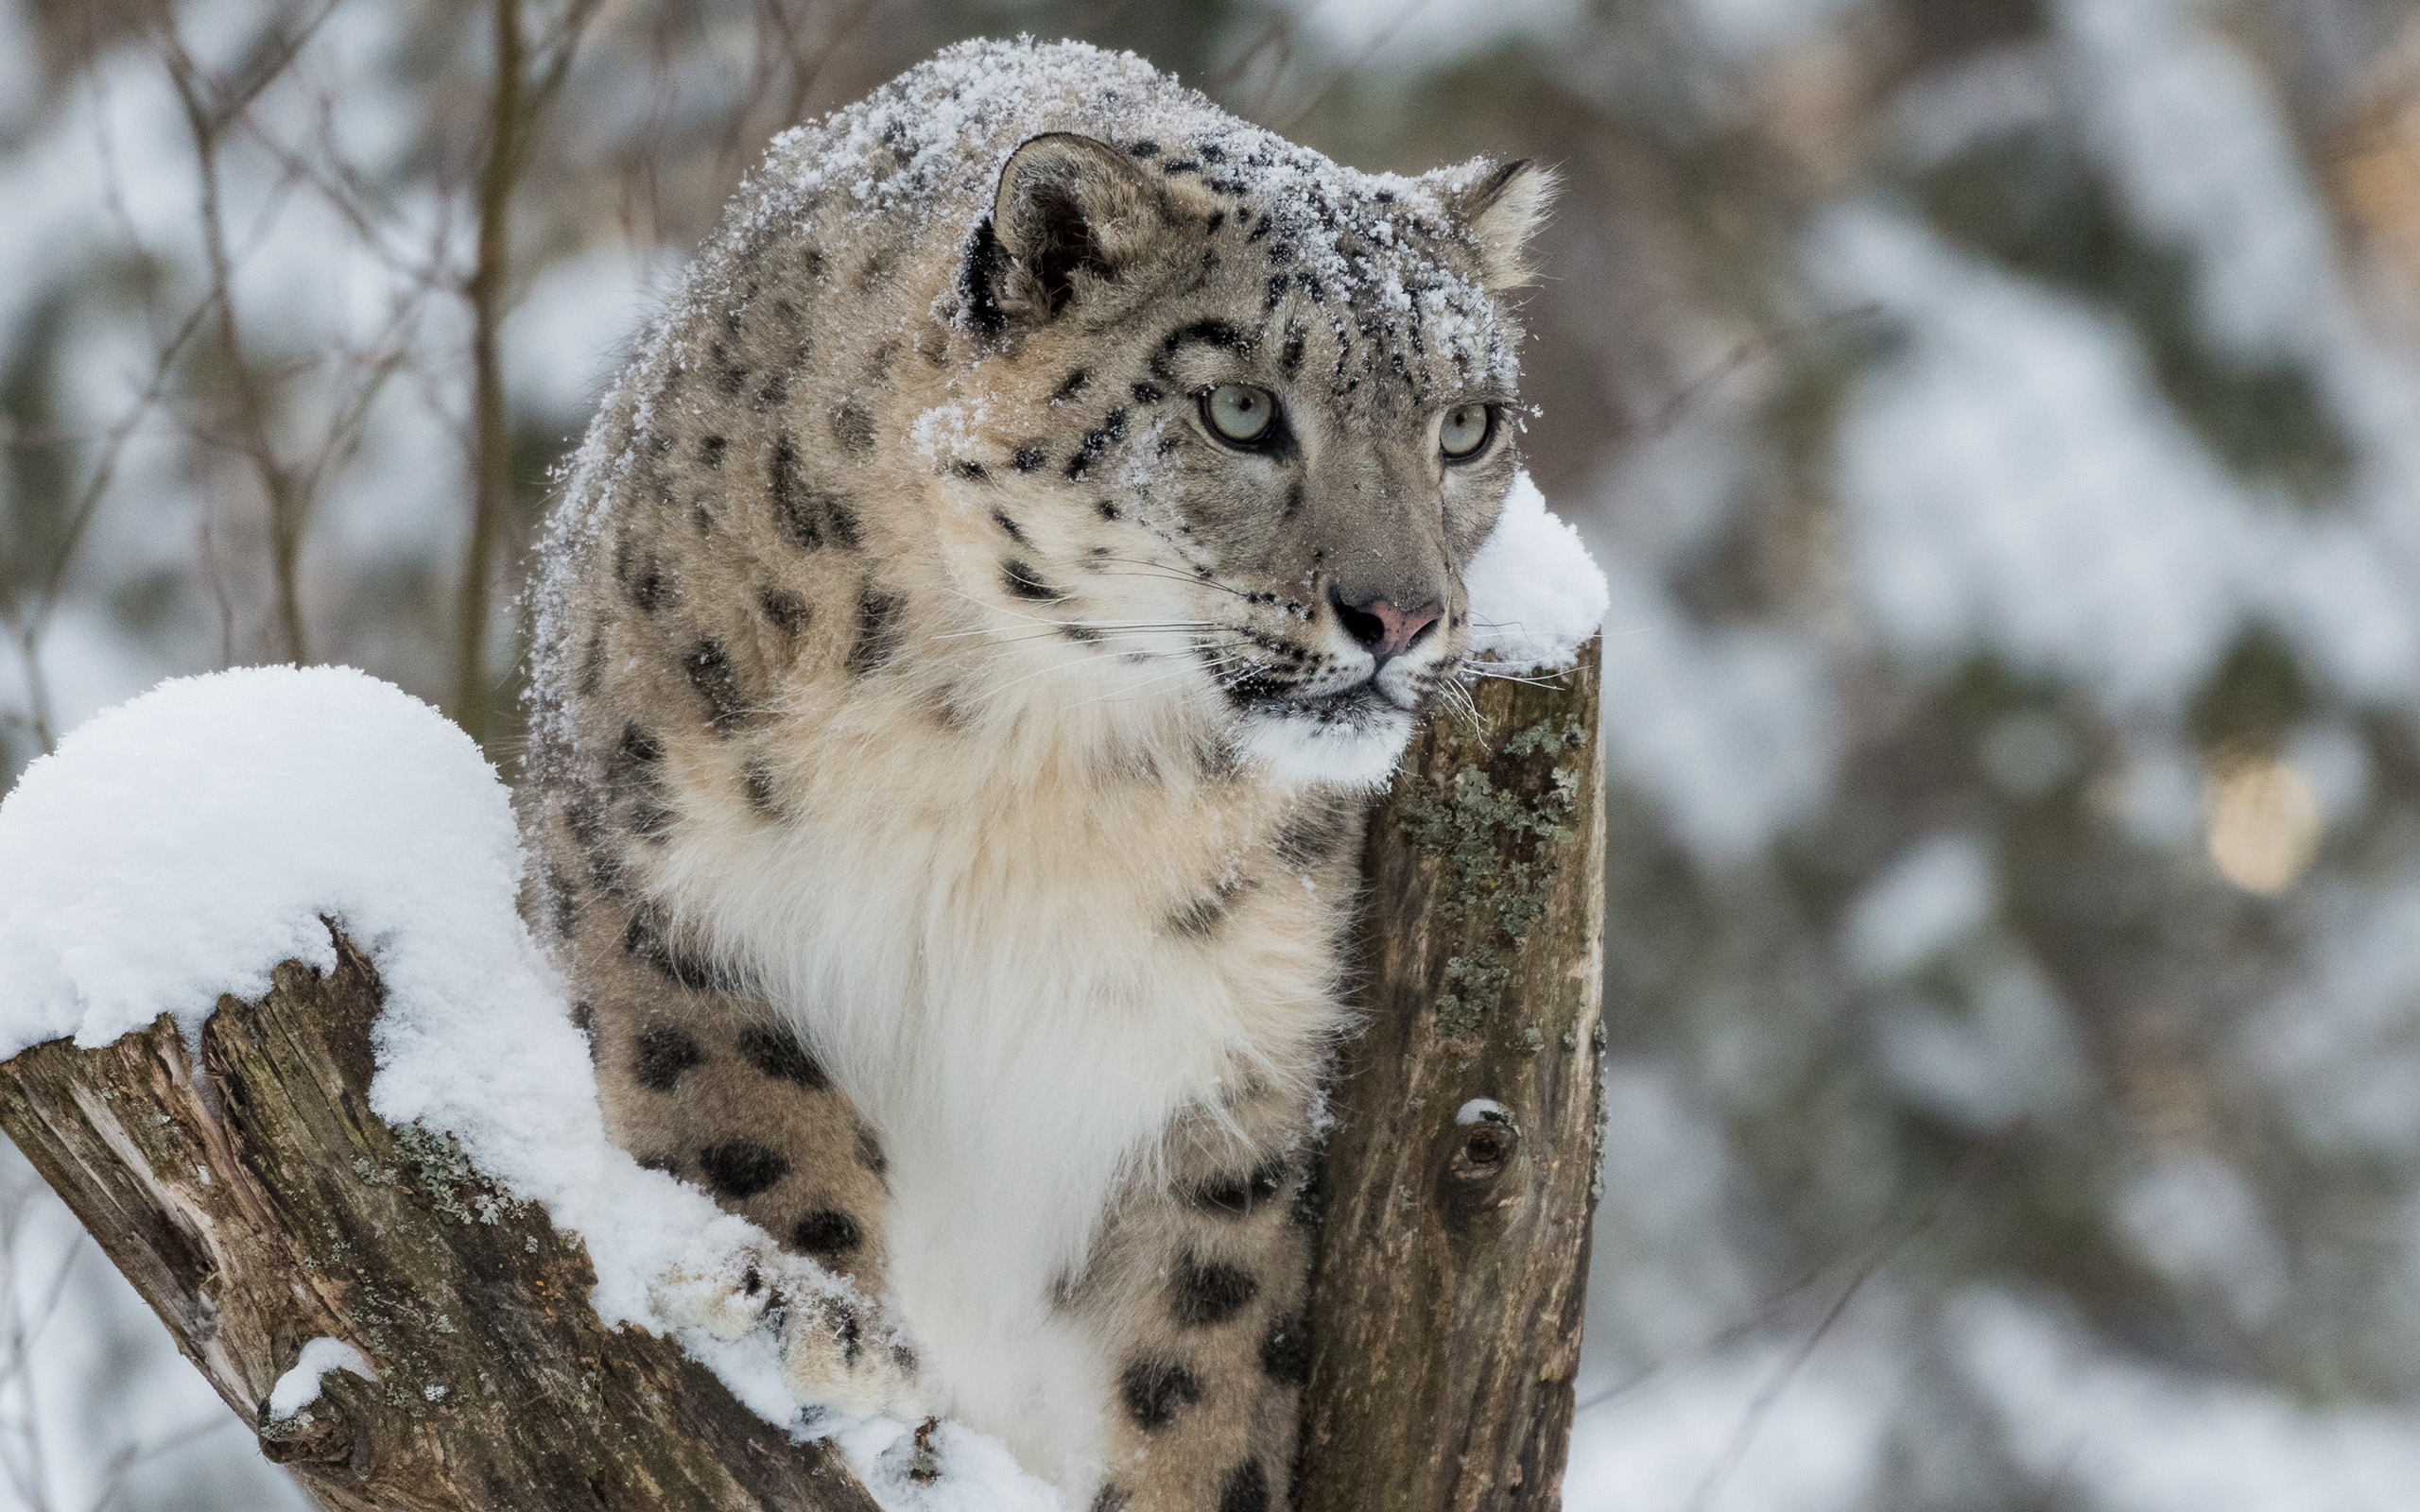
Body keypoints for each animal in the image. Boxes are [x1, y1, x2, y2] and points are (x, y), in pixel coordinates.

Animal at [519, 37, 1549, 1511]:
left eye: (1465, 426)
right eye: (1241, 409)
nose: (1402, 615)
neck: (1038, 765)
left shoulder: (1236, 1055)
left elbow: (1208, 1344)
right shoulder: (648, 855)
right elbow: (732, 1091)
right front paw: (810, 1321)